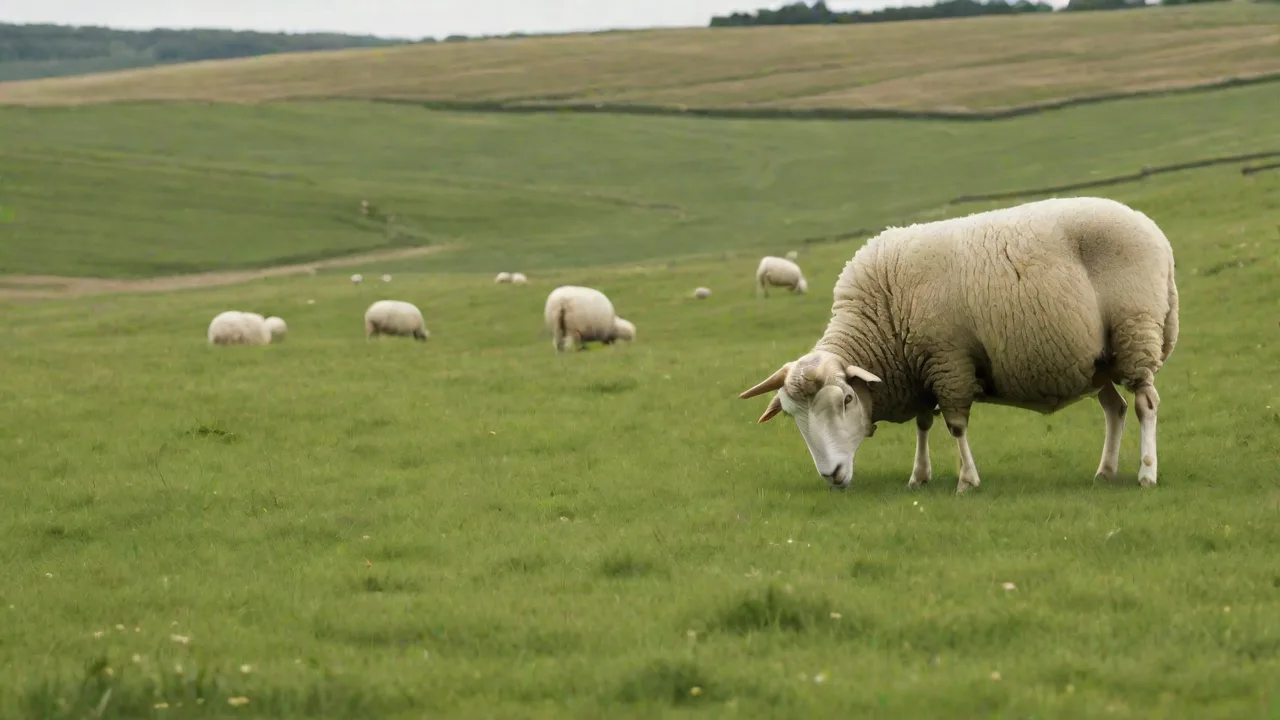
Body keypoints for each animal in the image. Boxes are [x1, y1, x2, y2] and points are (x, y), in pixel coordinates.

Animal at [739, 196, 1179, 494]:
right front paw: (919, 476)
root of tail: (1157, 234)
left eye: (846, 399)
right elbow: (923, 423)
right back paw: (1105, 472)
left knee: (1145, 404)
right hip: (1099, 359)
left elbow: (954, 425)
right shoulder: (920, 369)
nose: (831, 475)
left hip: (1135, 330)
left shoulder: (947, 361)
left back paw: (1147, 473)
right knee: (1115, 409)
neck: (883, 316)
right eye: (793, 416)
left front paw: (967, 480)